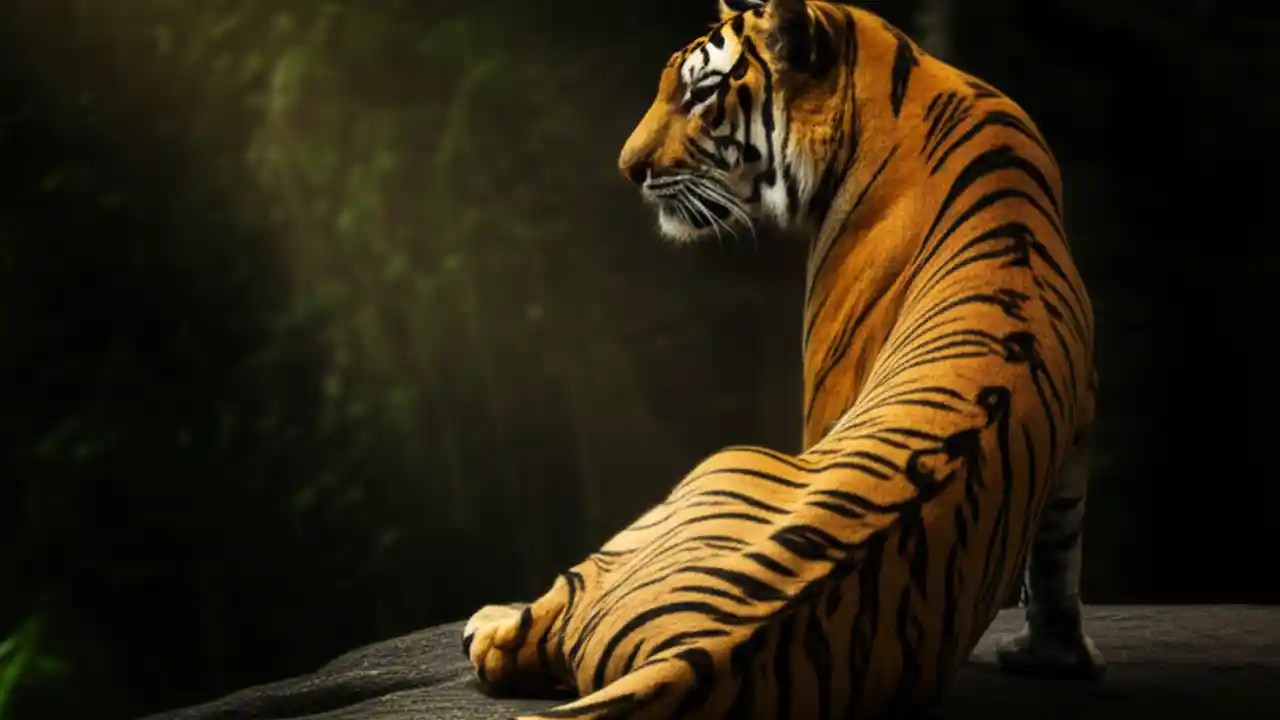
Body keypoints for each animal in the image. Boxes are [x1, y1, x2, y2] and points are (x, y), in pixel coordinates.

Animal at [462, 0, 1106, 717]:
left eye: (700, 93)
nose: (629, 169)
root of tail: (692, 655)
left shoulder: (829, 387)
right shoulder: (1079, 427)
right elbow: (1058, 557)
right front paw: (1055, 658)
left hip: (715, 466)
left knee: (539, 618)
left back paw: (488, 620)